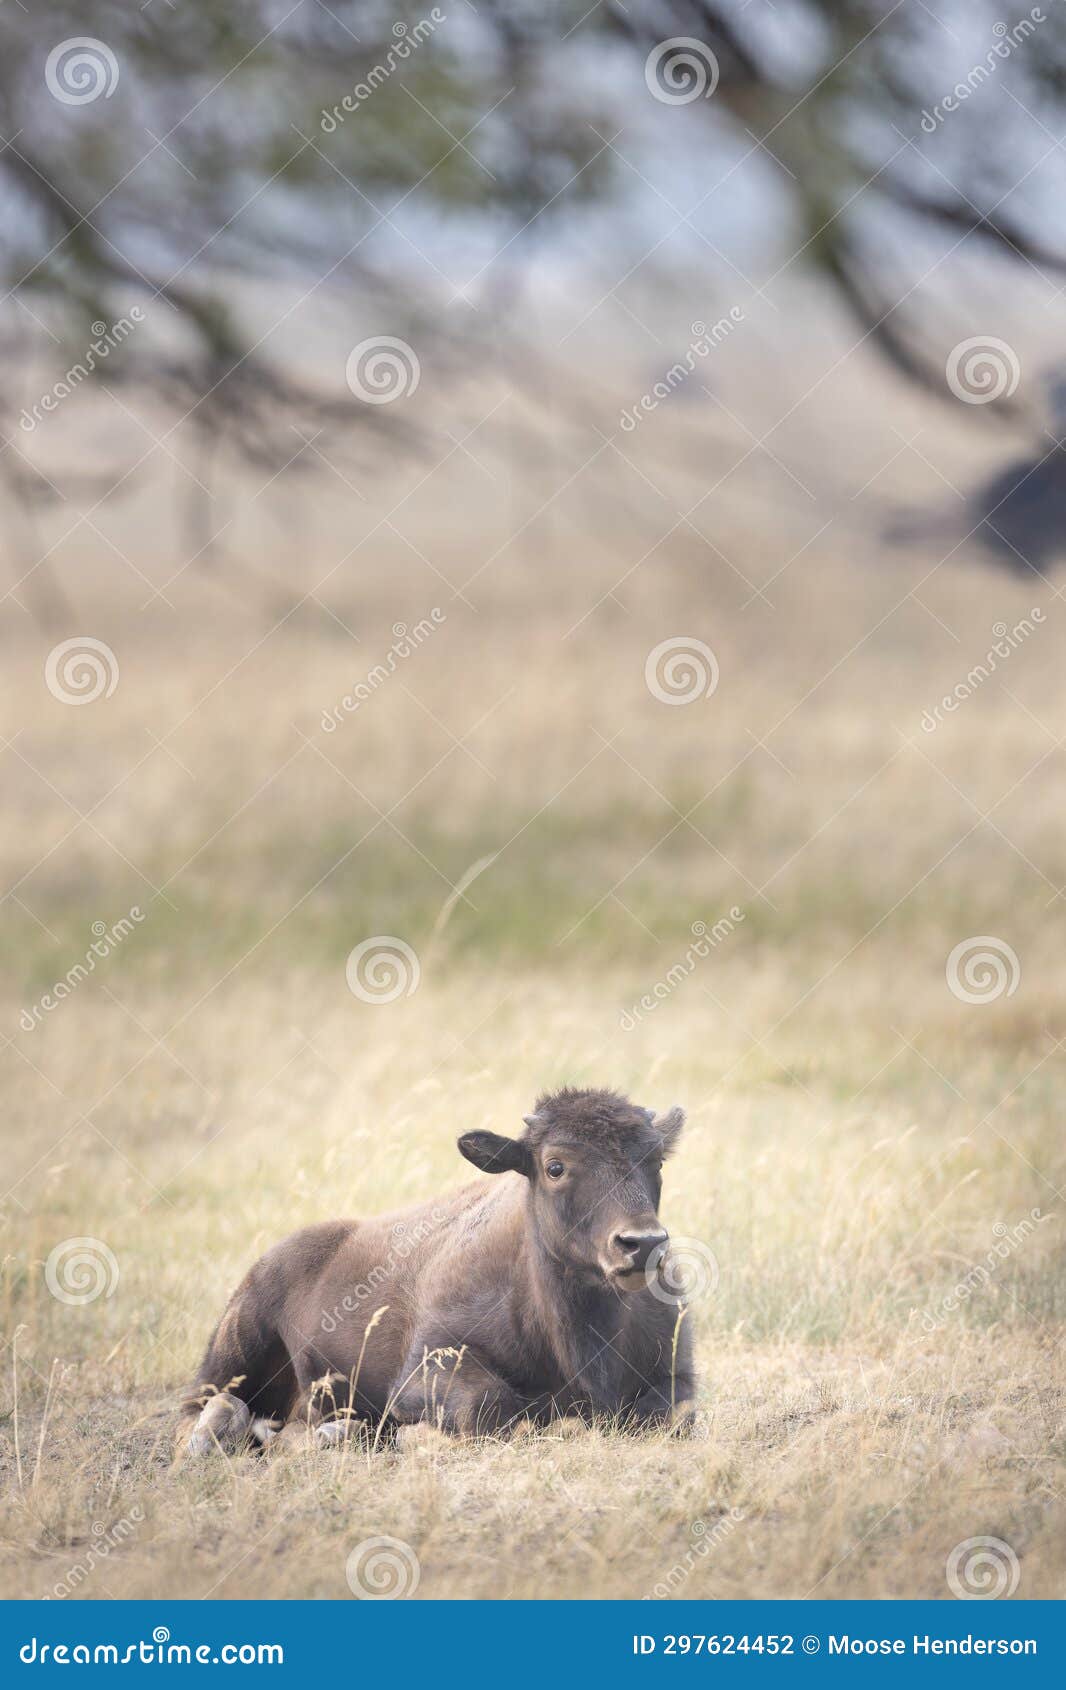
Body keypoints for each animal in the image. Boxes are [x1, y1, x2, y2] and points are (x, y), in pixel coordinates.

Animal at [179, 1087, 695, 1453]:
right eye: (555, 1166)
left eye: (655, 1160)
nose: (642, 1243)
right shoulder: (425, 1367)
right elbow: (489, 1407)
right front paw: (412, 1438)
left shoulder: (677, 1373)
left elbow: (672, 1414)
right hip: (235, 1346)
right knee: (205, 1407)